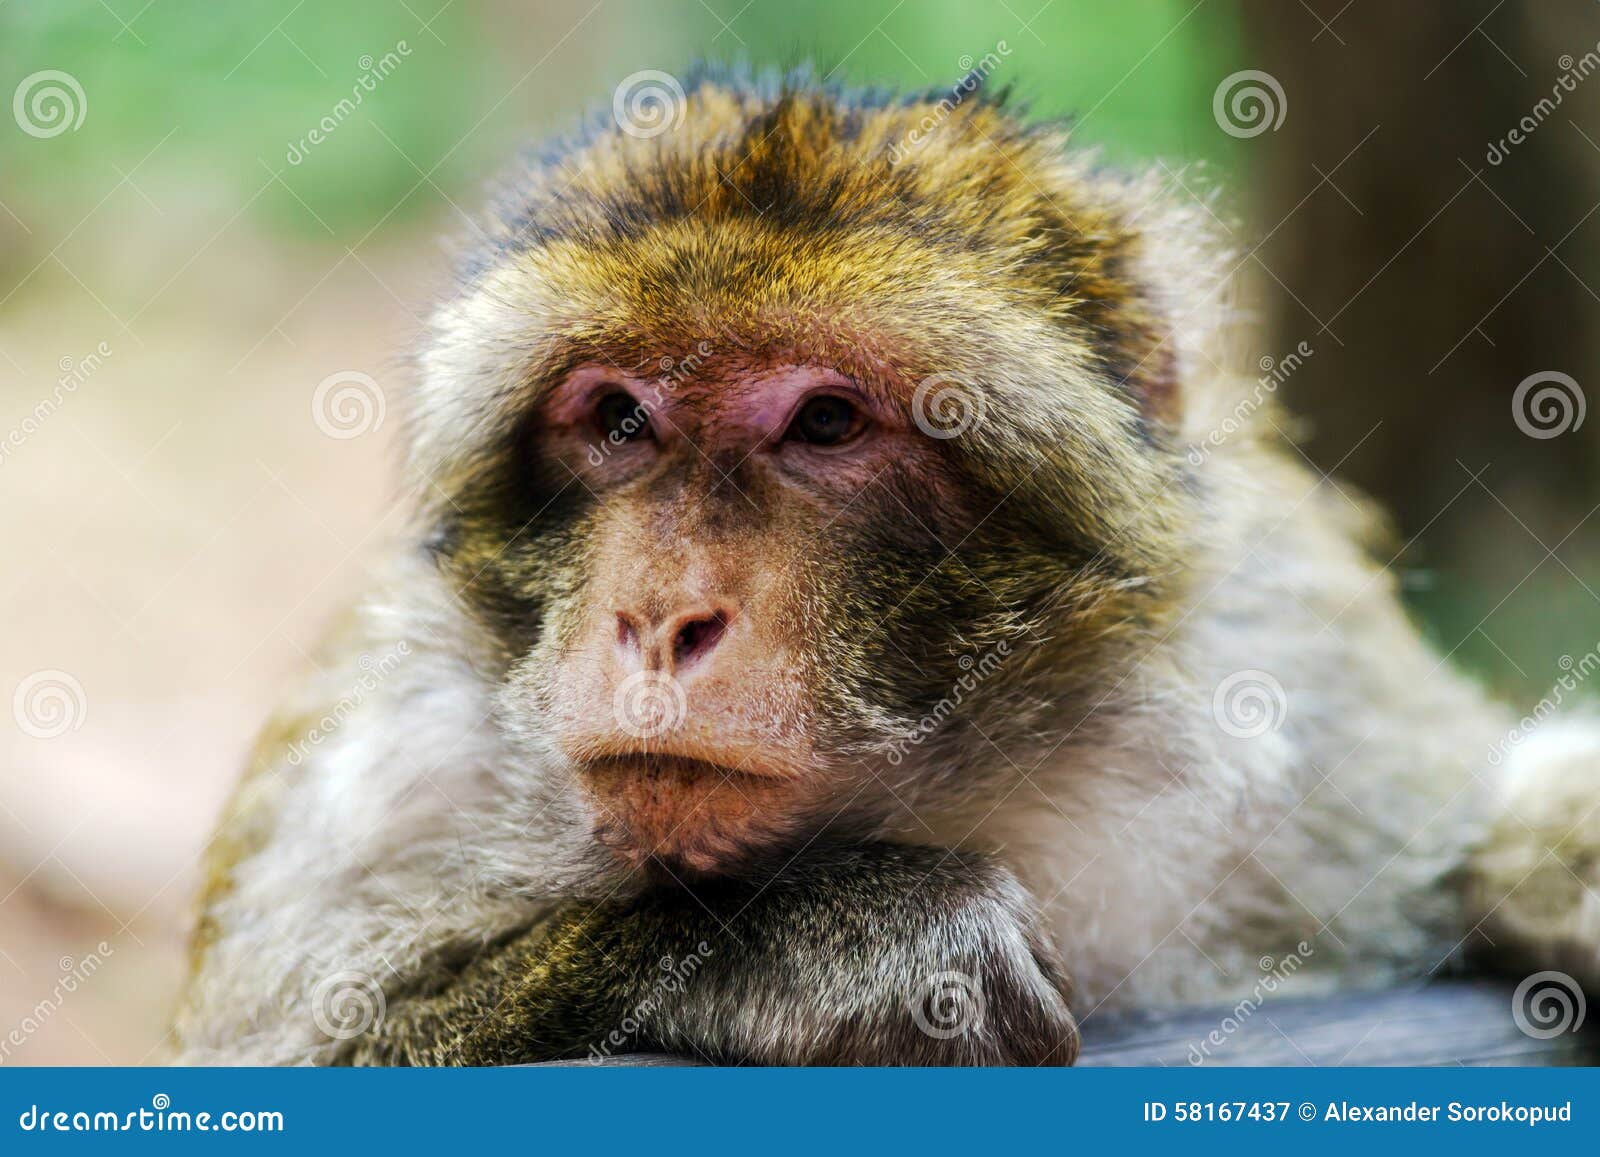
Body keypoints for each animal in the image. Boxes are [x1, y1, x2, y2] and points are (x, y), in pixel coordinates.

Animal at [171, 68, 1600, 1066]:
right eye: (619, 418)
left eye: (824, 422)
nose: (660, 616)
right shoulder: (394, 758)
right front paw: (844, 938)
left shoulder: (1295, 659)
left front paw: (1555, 854)